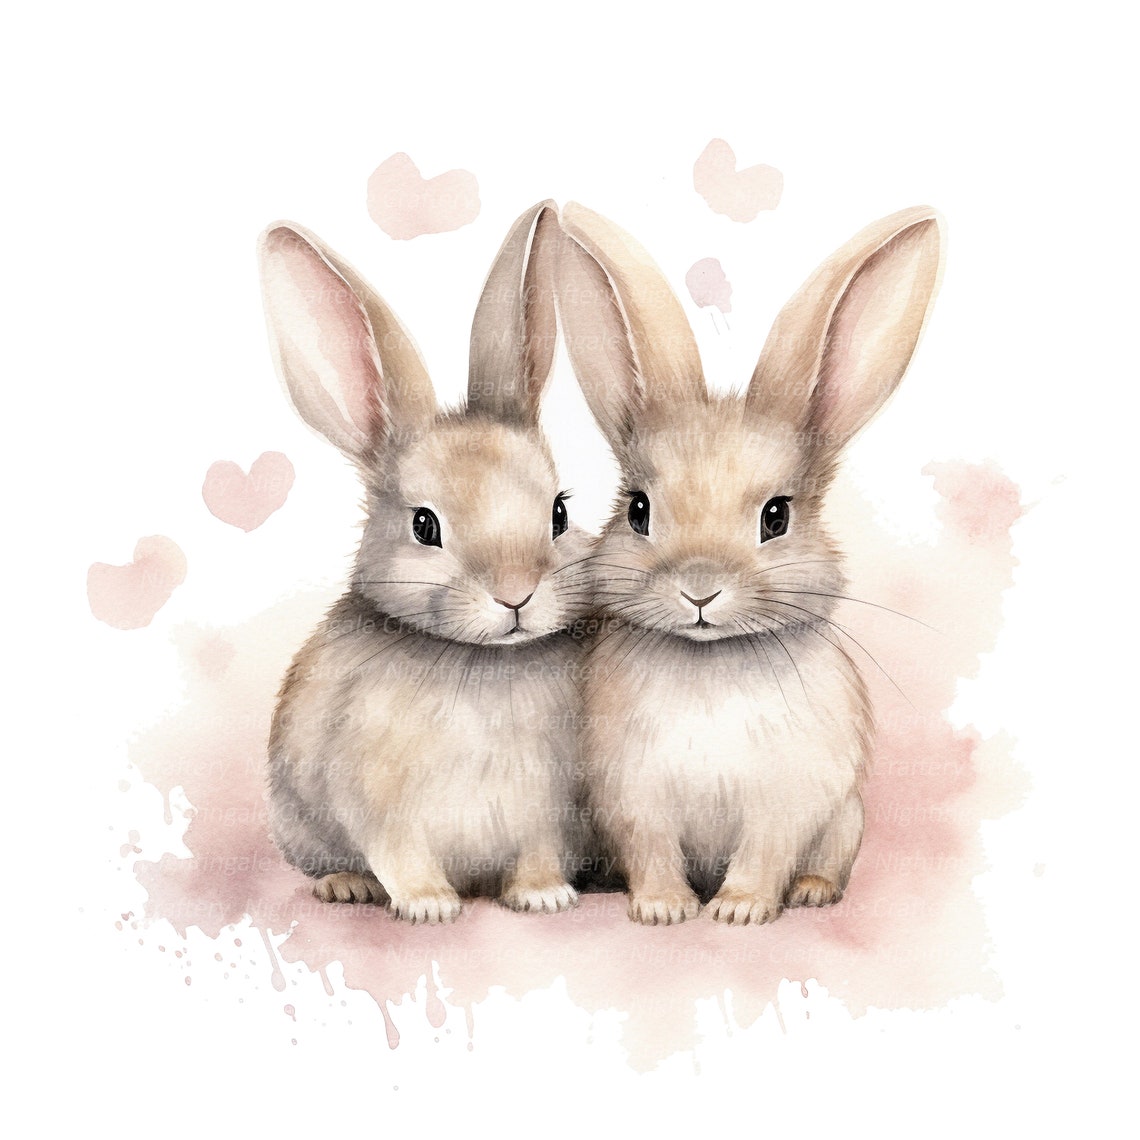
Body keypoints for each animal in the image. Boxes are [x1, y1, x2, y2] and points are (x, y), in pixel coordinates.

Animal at [257, 201, 594, 923]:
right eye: (424, 525)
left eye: (558, 513)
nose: (516, 594)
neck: (483, 663)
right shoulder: (376, 802)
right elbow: (399, 853)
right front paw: (429, 906)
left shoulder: (550, 813)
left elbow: (538, 852)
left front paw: (544, 897)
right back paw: (347, 886)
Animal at [555, 202, 944, 925]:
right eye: (639, 510)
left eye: (776, 517)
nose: (700, 591)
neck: (710, 662)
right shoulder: (633, 799)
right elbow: (653, 851)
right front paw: (663, 909)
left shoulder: (784, 801)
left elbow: (765, 852)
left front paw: (740, 911)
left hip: (846, 820)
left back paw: (813, 892)